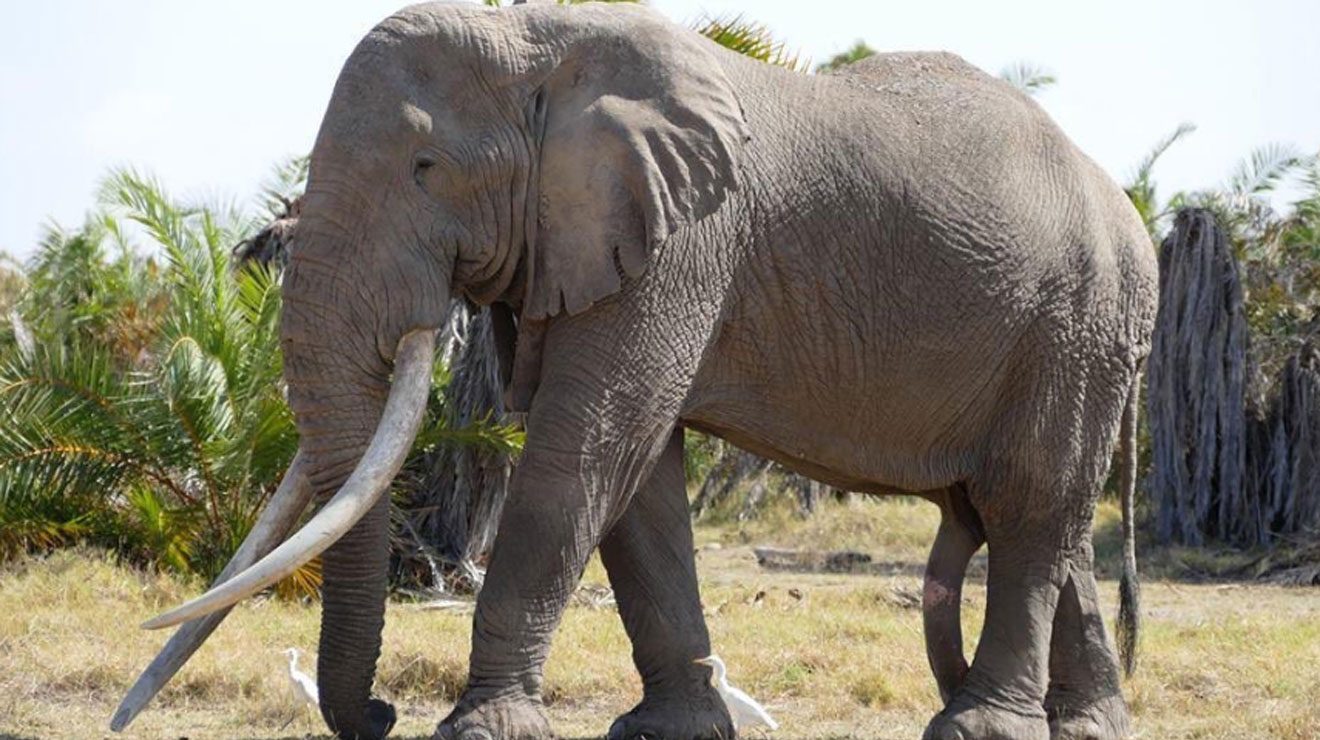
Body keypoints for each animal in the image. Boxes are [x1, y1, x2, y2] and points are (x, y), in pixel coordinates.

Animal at [115, 3, 1158, 739]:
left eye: (425, 168)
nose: (379, 716)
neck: (536, 38)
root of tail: (1129, 212)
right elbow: (639, 474)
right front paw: (668, 730)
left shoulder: (682, 240)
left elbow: (587, 444)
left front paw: (484, 729)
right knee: (1046, 521)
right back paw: (1086, 726)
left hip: (1081, 322)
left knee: (1029, 505)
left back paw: (983, 727)